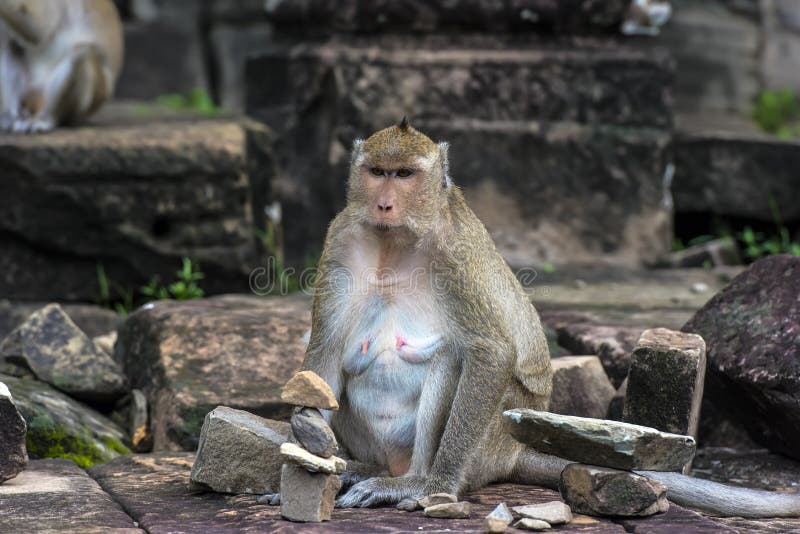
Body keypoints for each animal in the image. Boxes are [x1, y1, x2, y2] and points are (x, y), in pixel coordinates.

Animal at [0, 0, 123, 133]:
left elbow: (39, 31)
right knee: (9, 49)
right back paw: (9, 117)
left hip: (93, 101)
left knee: (84, 55)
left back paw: (48, 118)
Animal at [295, 119, 800, 518]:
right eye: (377, 173)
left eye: (404, 175)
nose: (384, 204)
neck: (396, 240)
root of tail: (513, 451)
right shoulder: (341, 238)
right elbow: (324, 353)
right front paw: (304, 440)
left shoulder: (454, 252)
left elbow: (491, 353)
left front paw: (435, 487)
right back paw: (364, 467)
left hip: (491, 440)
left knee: (455, 358)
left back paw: (414, 478)